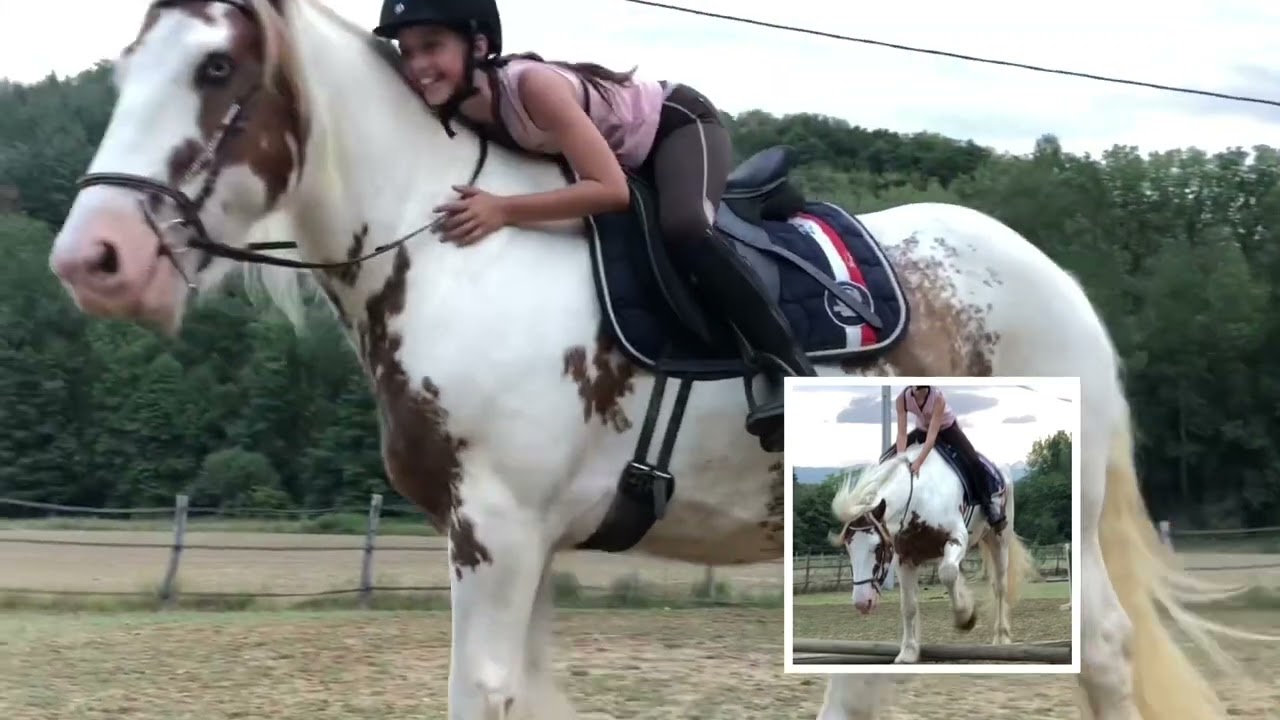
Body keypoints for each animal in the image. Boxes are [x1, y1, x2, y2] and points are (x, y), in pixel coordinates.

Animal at [826, 441, 1035, 663]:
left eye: (878, 547)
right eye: (849, 549)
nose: (861, 603)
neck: (919, 498)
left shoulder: (957, 539)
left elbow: (948, 574)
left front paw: (965, 618)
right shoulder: (904, 559)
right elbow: (909, 605)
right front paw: (909, 651)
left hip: (999, 539)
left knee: (999, 587)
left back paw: (1001, 637)